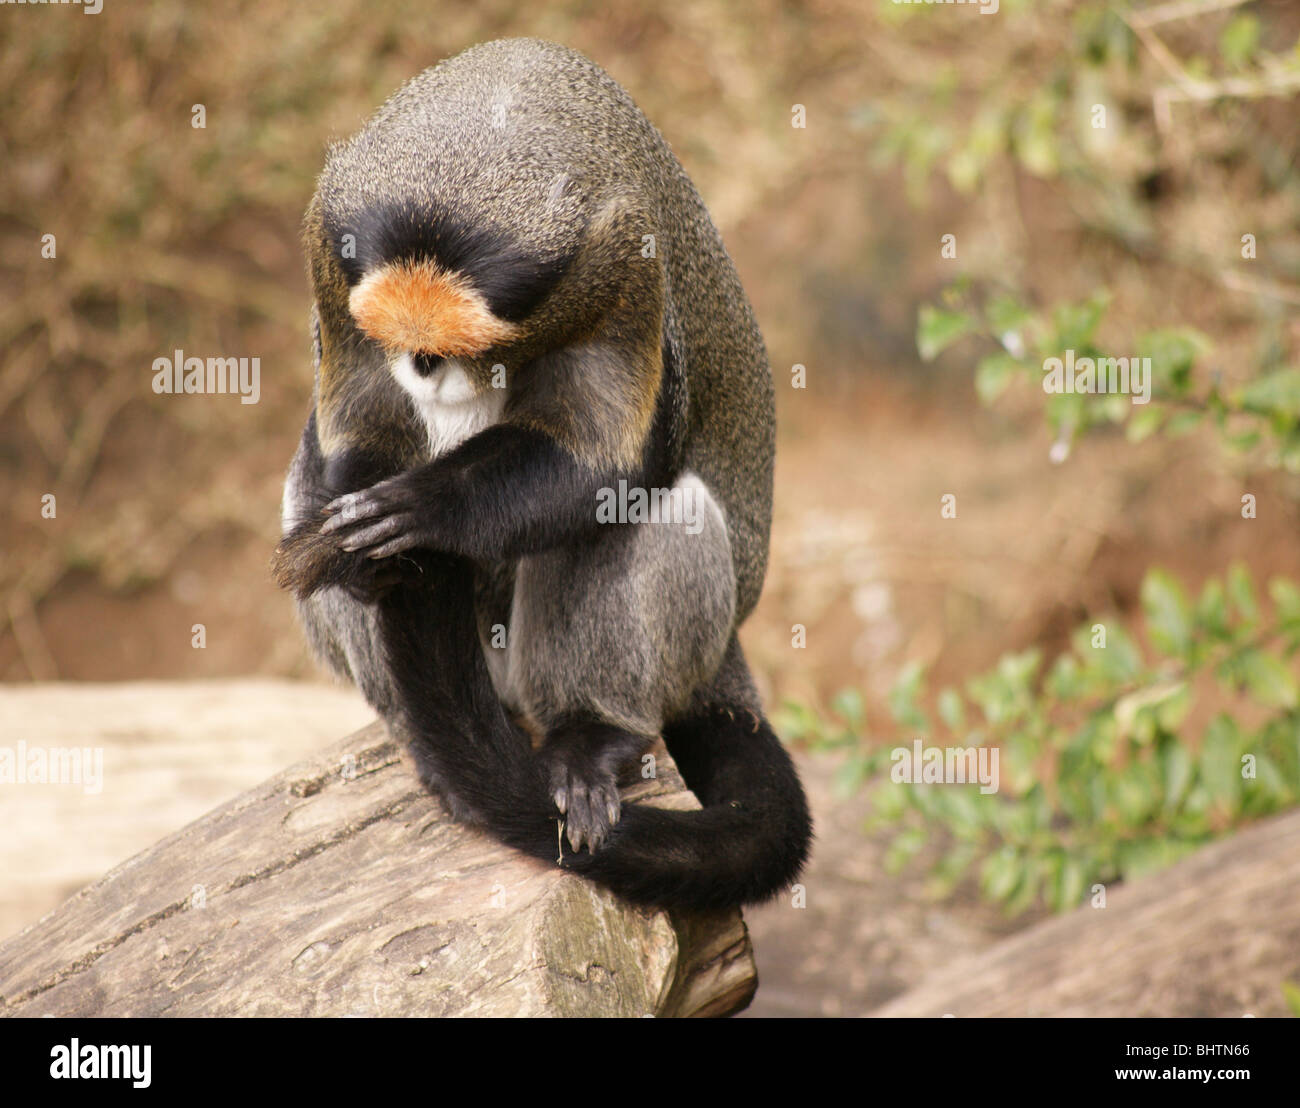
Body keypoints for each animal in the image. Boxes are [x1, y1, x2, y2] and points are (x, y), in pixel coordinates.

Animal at [272, 37, 811, 911]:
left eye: (462, 346)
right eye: (409, 343)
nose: (424, 366)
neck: (465, 167)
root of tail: (725, 663)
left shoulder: (620, 257)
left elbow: (609, 460)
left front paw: (425, 507)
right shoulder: (330, 246)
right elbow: (356, 421)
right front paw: (362, 545)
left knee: (651, 511)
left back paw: (594, 736)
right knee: (305, 474)